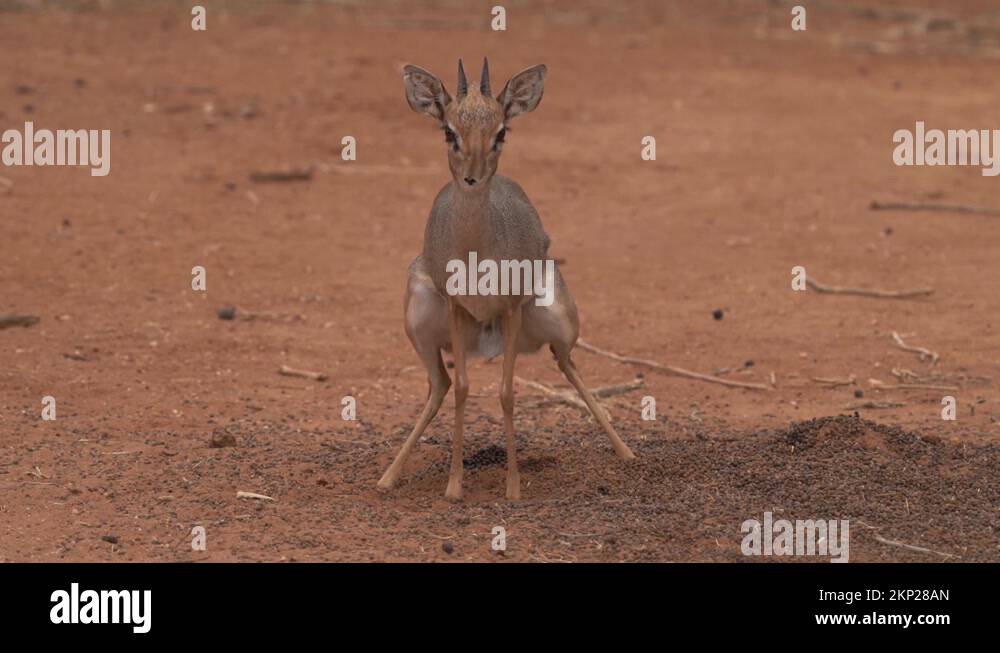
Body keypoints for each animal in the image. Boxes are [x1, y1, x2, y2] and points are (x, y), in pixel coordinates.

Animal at [377, 58, 635, 501]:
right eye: (448, 131)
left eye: (501, 132)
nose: (472, 177)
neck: (477, 250)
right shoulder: (455, 306)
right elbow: (464, 389)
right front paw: (454, 486)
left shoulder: (512, 307)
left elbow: (507, 393)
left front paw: (513, 487)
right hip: (421, 310)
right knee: (441, 383)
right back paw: (388, 476)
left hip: (556, 315)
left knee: (567, 363)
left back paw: (627, 453)